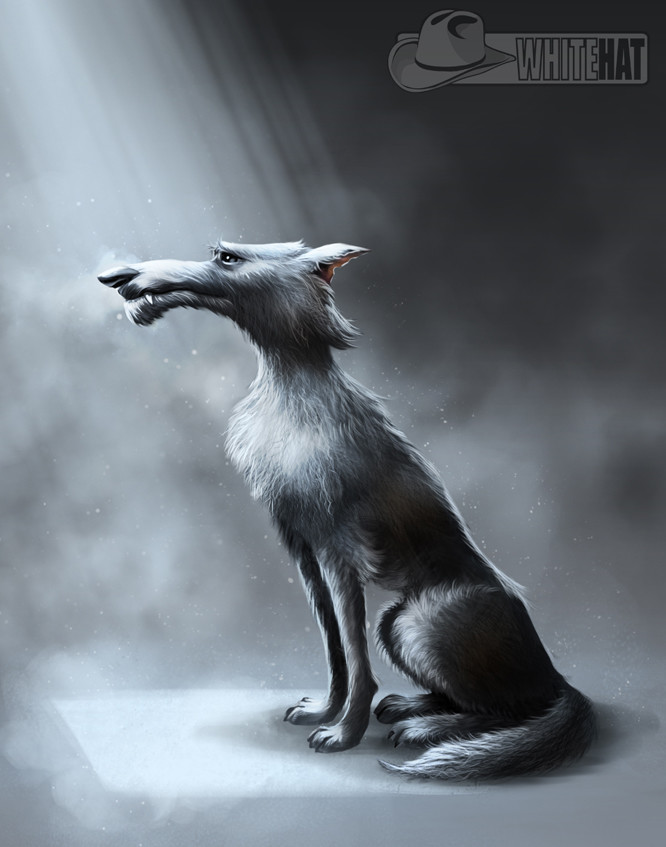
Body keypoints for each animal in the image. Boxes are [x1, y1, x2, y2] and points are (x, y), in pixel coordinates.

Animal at [98, 239, 596, 779]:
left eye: (225, 256)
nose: (116, 277)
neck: (290, 388)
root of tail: (559, 679)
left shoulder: (341, 552)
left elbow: (356, 659)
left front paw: (343, 733)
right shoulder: (302, 548)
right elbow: (334, 646)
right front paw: (325, 710)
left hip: (415, 621)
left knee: (506, 710)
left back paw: (426, 729)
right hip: (397, 623)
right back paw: (411, 707)